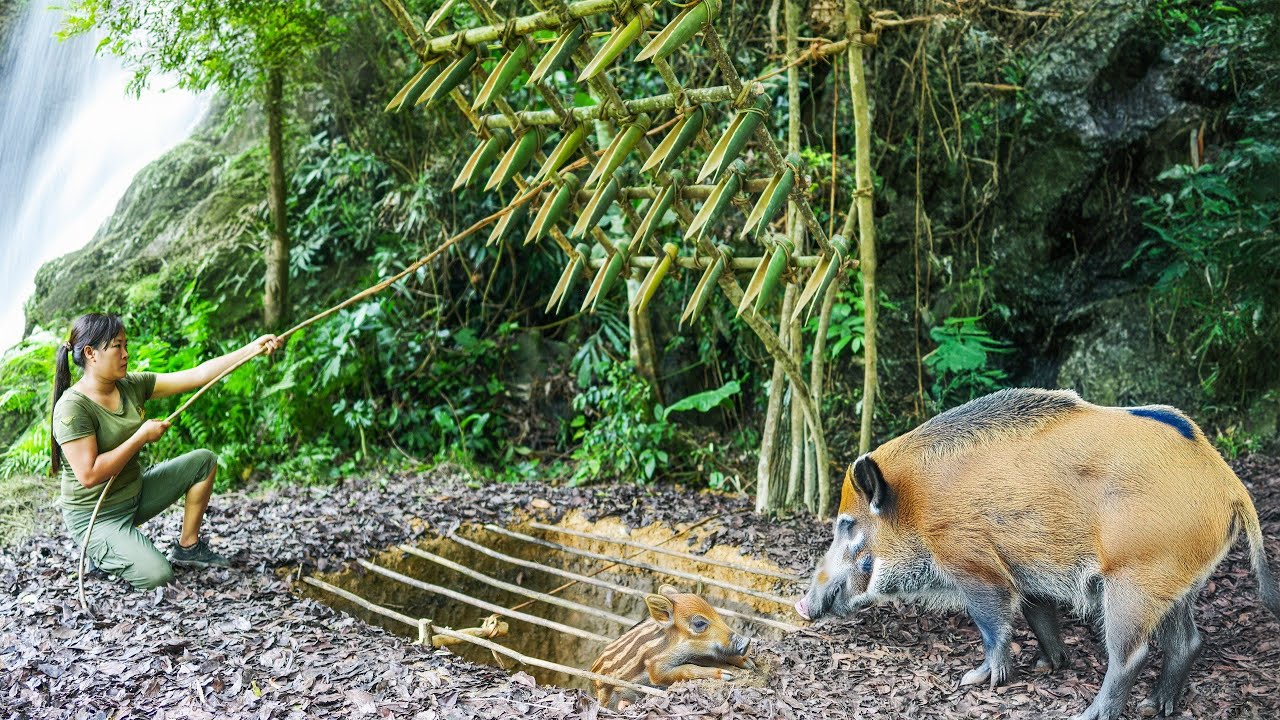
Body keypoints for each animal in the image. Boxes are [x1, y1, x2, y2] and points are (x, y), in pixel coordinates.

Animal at [592, 585, 751, 710]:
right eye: (699, 623)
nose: (747, 641)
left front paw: (749, 663)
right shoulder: (656, 668)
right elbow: (686, 670)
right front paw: (727, 675)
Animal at [796, 388, 1279, 720]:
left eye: (847, 525)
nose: (801, 605)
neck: (916, 506)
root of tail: (1228, 483)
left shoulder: (976, 566)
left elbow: (992, 624)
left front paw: (976, 679)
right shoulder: (1028, 575)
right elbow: (1038, 616)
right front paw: (1048, 665)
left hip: (1135, 579)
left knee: (1131, 654)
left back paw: (1090, 715)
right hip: (1177, 583)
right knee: (1186, 642)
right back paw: (1153, 707)